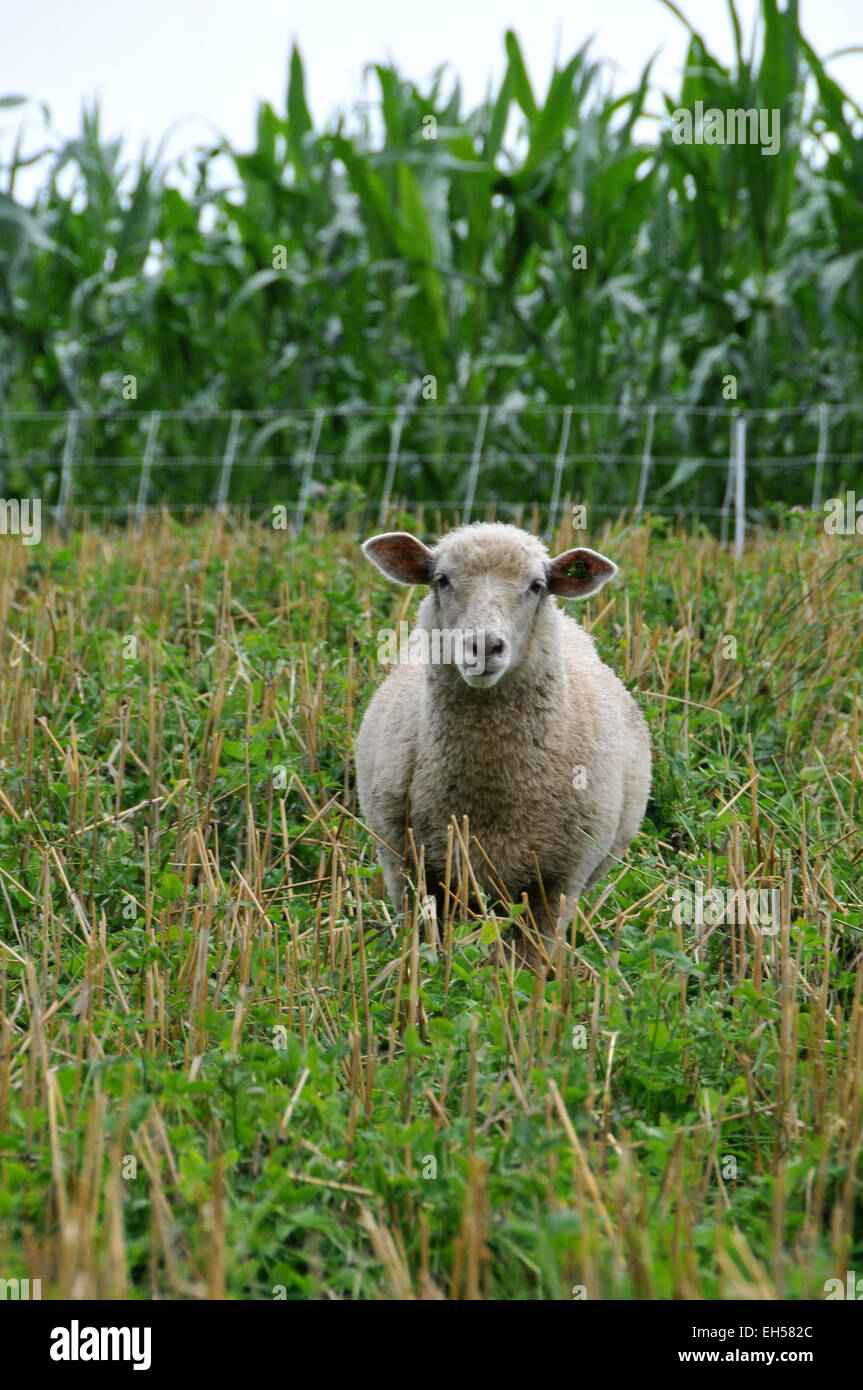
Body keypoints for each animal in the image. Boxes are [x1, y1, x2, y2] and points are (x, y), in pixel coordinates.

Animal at [355, 522, 651, 968]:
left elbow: (530, 962)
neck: (492, 792)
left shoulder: (558, 884)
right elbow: (422, 943)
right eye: (442, 579)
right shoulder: (407, 868)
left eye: (537, 586)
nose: (483, 647)